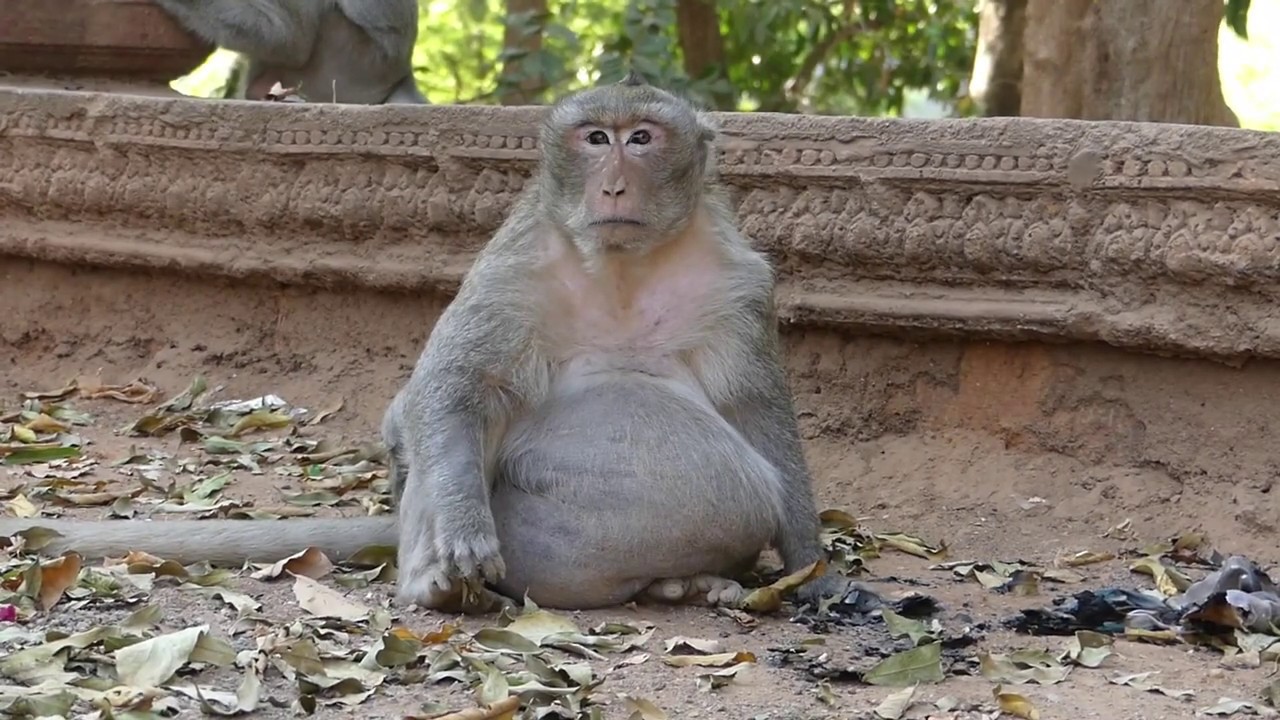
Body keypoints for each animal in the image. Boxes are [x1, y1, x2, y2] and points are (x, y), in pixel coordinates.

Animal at [0, 76, 847, 612]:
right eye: (595, 137)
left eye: (642, 138)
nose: (612, 183)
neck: (623, 265)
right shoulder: (514, 268)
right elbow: (448, 390)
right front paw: (465, 533)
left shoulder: (738, 280)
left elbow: (760, 413)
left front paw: (812, 569)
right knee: (436, 430)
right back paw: (436, 587)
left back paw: (684, 584)